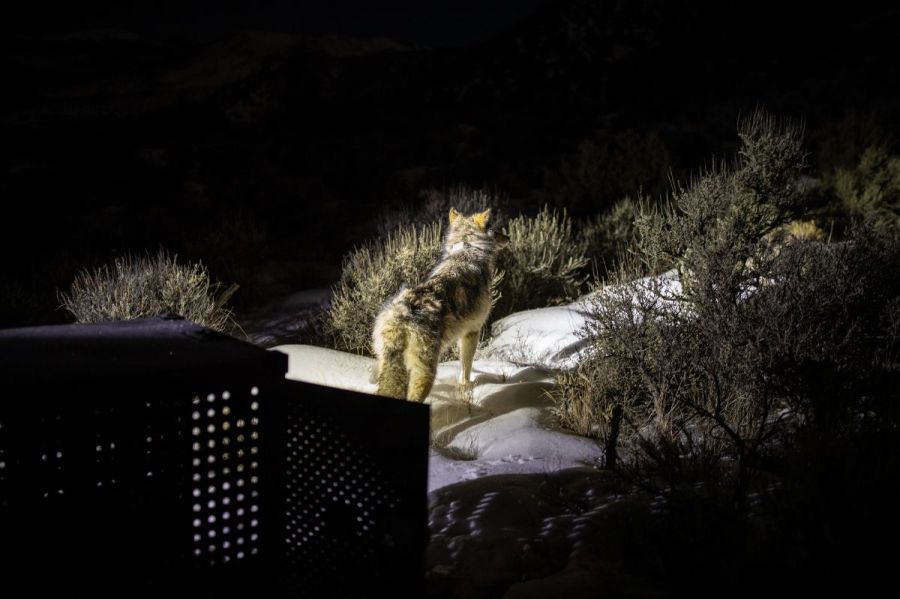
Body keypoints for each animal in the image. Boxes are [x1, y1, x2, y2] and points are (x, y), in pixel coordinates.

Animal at [373, 208, 509, 402]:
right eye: (494, 228)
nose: (508, 238)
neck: (468, 249)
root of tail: (401, 314)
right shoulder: (472, 332)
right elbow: (466, 368)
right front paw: (467, 389)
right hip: (425, 373)